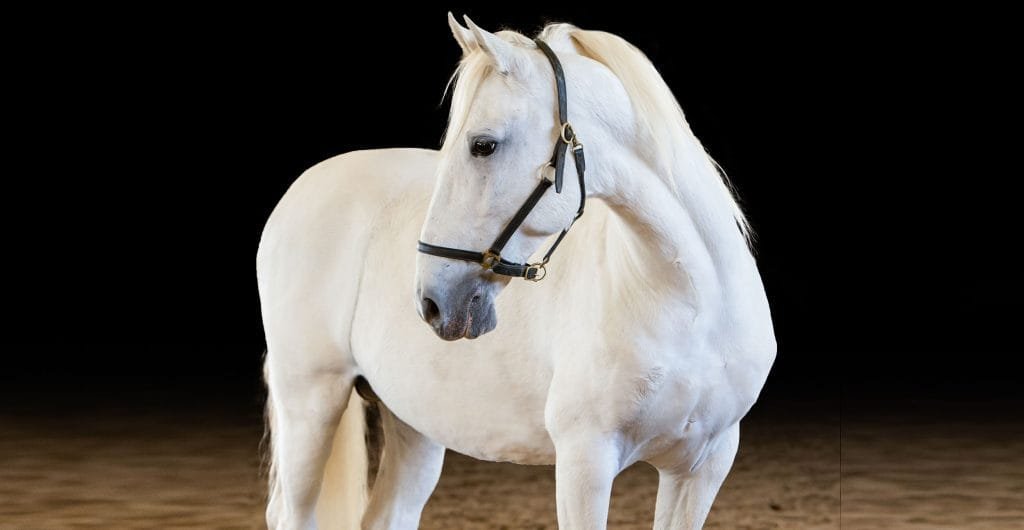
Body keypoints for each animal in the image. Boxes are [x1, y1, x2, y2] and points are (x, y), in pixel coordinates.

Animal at [258, 15, 775, 530]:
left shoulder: (702, 466)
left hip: (411, 422)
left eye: (483, 145)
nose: (432, 302)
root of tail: (303, 186)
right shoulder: (585, 459)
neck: (690, 305)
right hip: (310, 401)